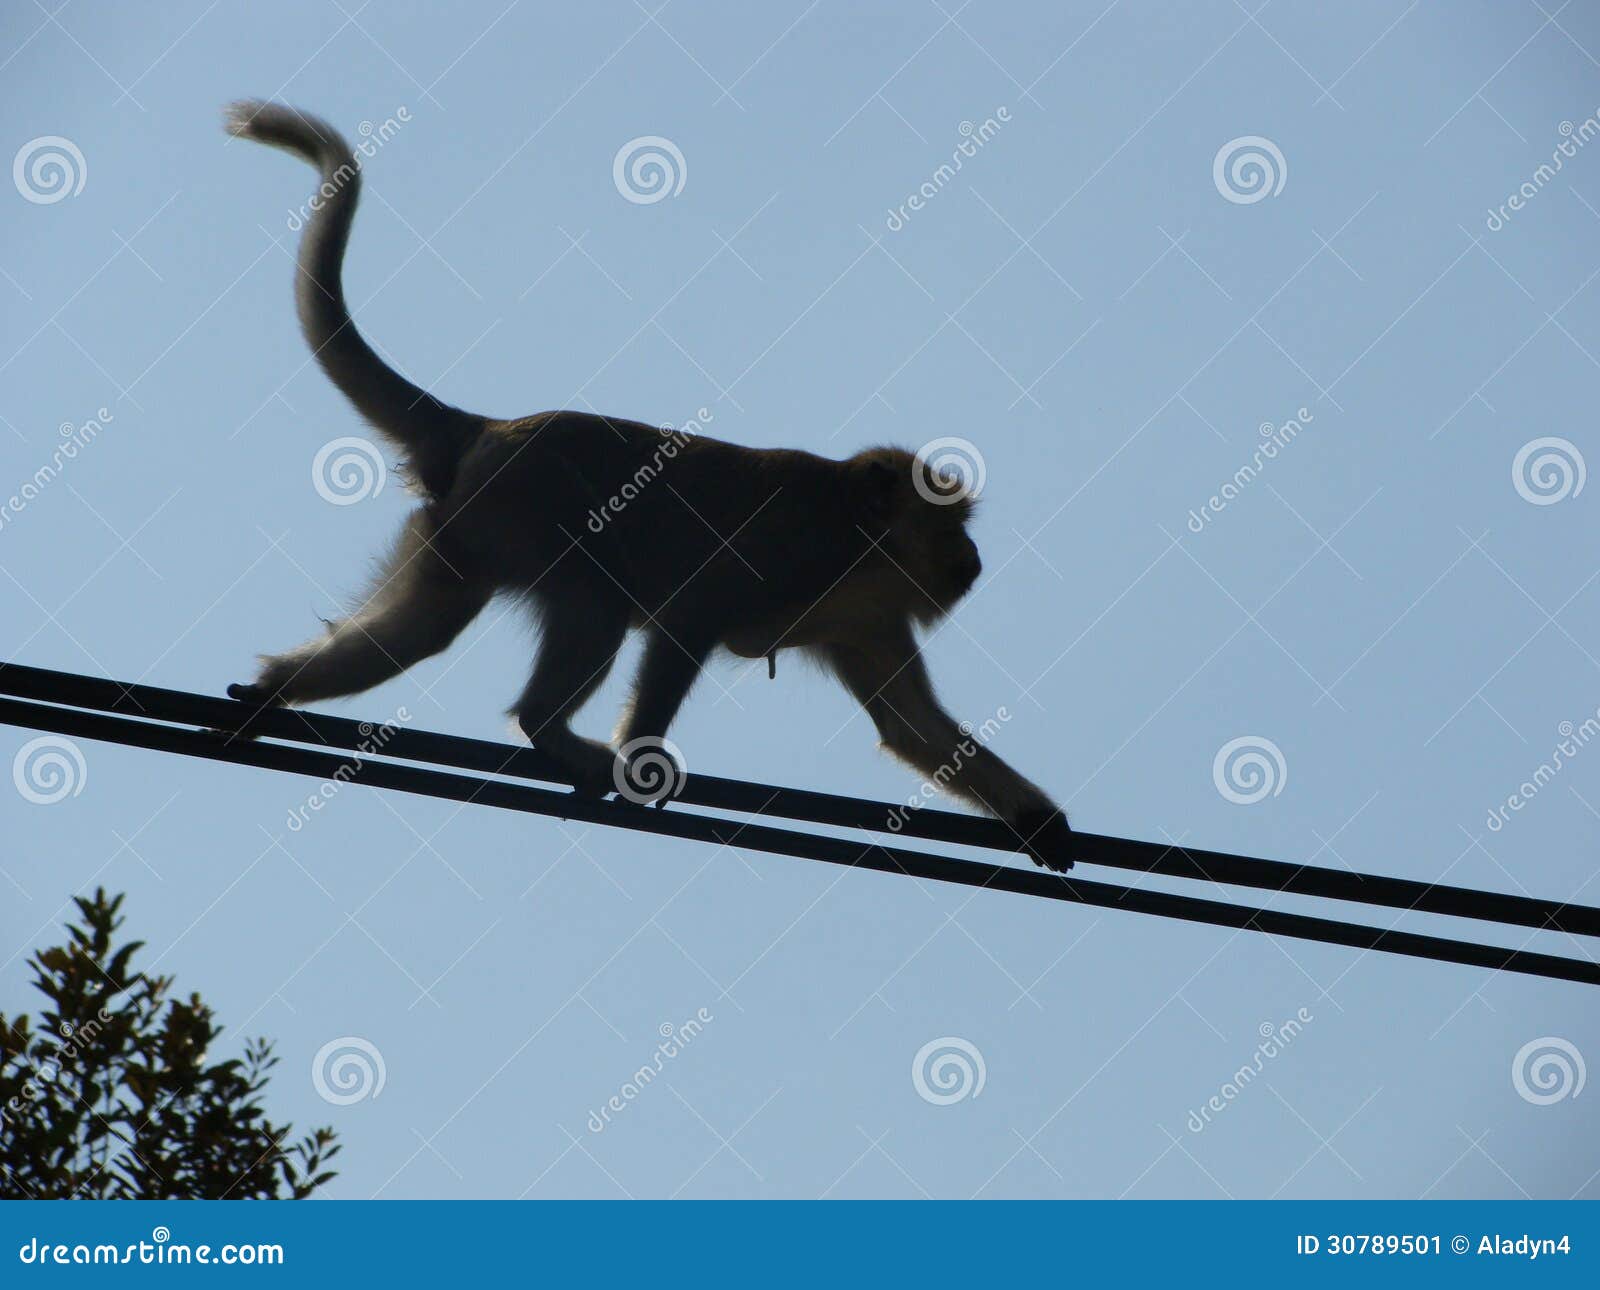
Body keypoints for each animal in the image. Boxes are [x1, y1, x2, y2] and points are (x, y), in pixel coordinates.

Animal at [221, 101, 1074, 873]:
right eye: (949, 524)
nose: (971, 555)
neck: (857, 538)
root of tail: (487, 427)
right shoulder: (797, 545)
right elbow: (690, 614)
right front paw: (644, 766)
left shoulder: (868, 611)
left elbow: (912, 727)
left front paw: (1038, 820)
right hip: (512, 512)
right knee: (584, 606)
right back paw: (543, 727)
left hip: (465, 527)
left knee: (427, 626)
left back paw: (274, 690)